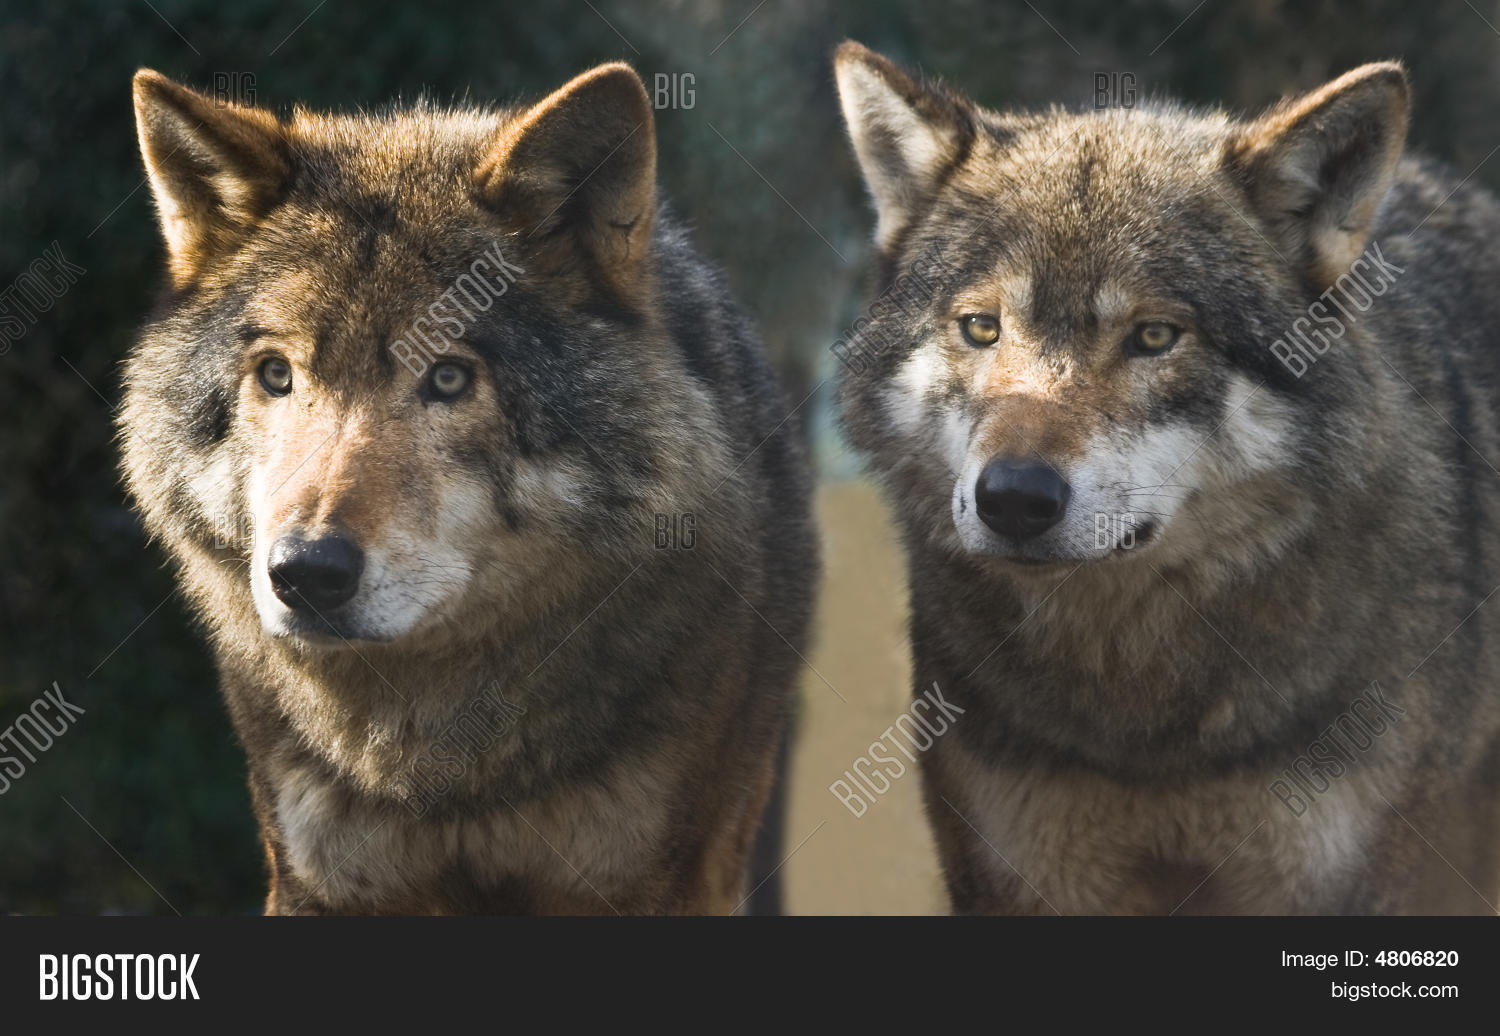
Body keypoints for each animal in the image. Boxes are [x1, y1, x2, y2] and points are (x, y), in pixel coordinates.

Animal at [121, 63, 816, 914]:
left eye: (448, 378)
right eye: (277, 376)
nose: (307, 574)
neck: (443, 768)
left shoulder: (653, 884)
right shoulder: (317, 880)